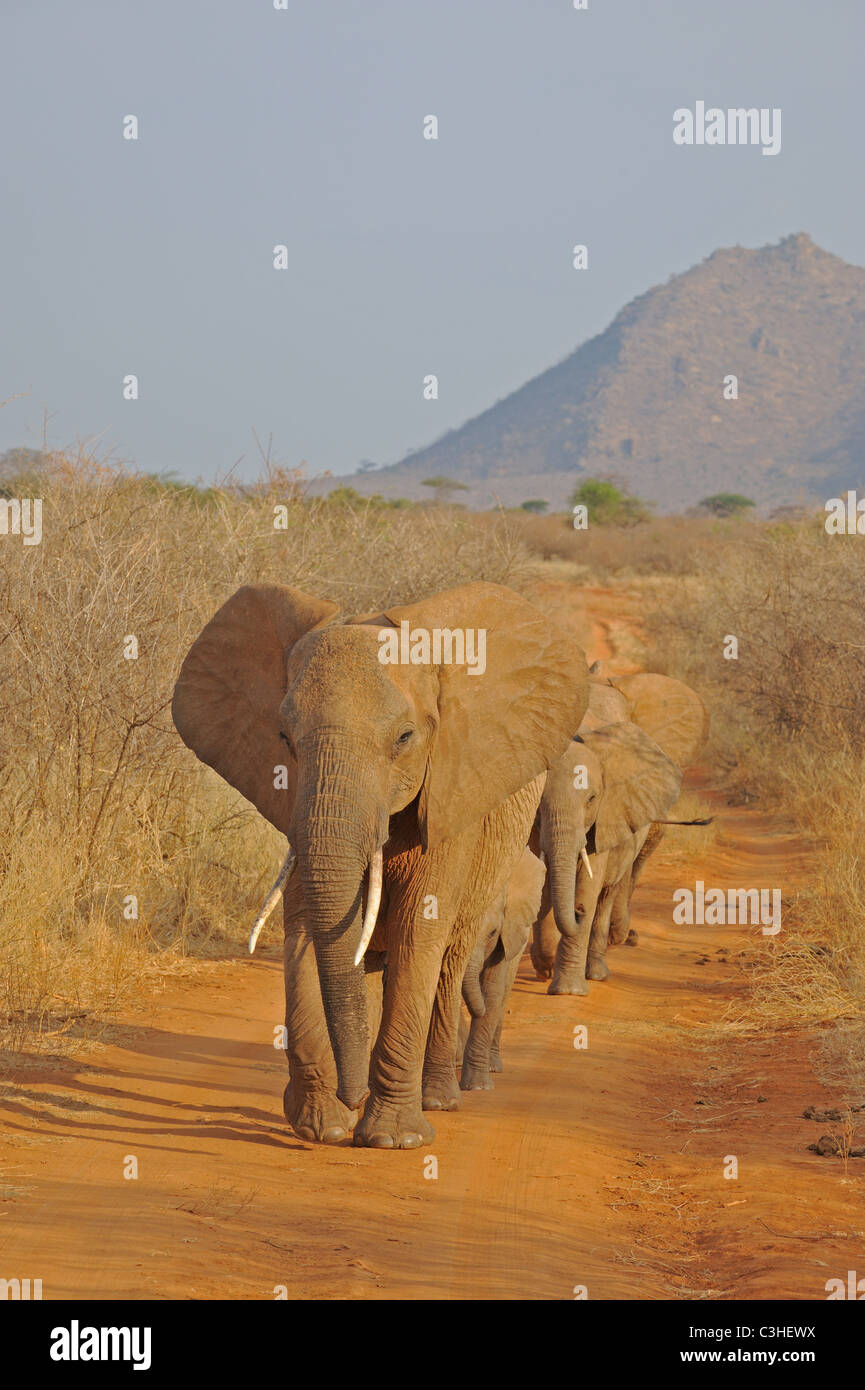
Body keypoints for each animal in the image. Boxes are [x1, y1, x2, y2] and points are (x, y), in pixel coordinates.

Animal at [458, 846, 546, 1091]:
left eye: (492, 933)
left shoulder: (505, 933)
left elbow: (492, 991)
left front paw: (478, 1087)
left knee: (504, 993)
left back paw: (493, 1065)